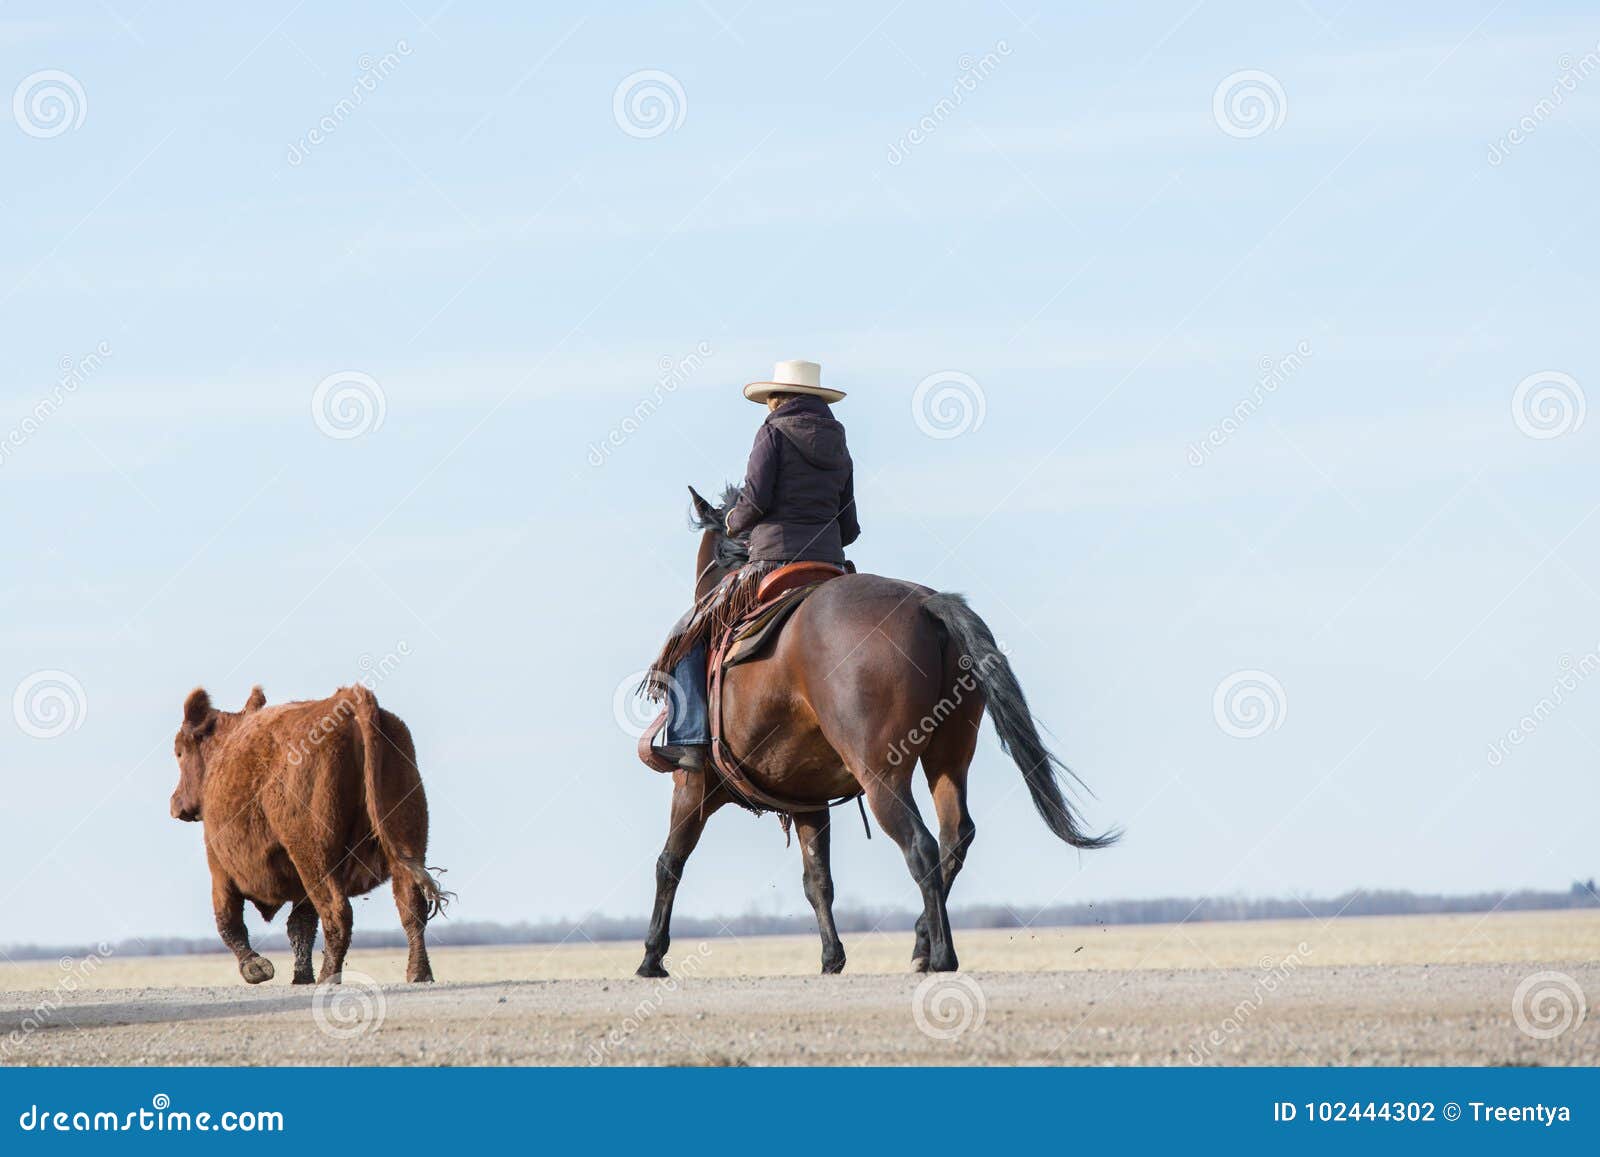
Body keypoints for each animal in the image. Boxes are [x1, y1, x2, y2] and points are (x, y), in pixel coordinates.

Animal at [169, 683, 447, 985]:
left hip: (314, 856)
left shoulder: (219, 865)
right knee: (411, 906)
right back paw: (419, 973)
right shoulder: (299, 885)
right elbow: (300, 926)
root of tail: (350, 699)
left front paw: (255, 967)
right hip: (405, 842)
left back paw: (328, 975)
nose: (175, 803)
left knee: (338, 912)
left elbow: (228, 920)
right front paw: (301, 976)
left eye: (179, 752)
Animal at [636, 485, 1119, 978]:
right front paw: (832, 958)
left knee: (921, 846)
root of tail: (924, 604)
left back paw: (940, 955)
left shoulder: (692, 785)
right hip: (948, 757)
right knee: (954, 837)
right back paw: (923, 944)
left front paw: (652, 956)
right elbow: (818, 880)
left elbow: (669, 862)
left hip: (882, 776)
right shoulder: (808, 801)